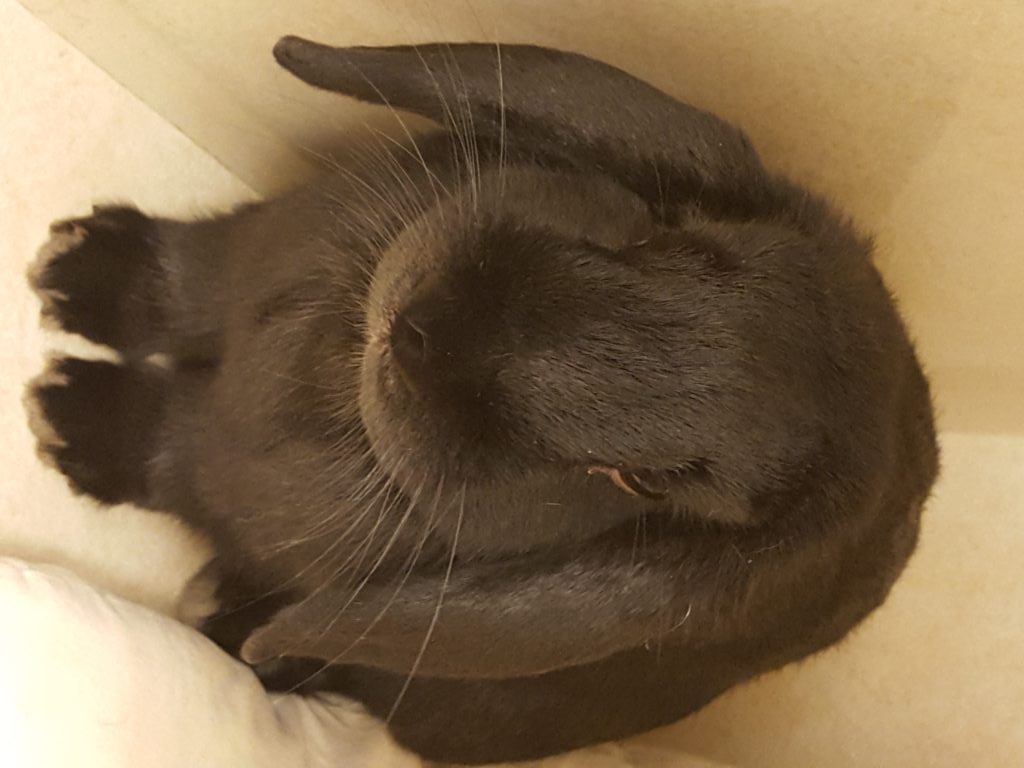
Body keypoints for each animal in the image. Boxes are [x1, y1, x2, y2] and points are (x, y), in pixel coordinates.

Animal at [27, 37, 939, 765]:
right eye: (660, 229)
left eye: (642, 482)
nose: (426, 331)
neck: (333, 357)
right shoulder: (252, 252)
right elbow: (187, 277)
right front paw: (75, 268)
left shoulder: (220, 473)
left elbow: (169, 449)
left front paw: (64, 414)